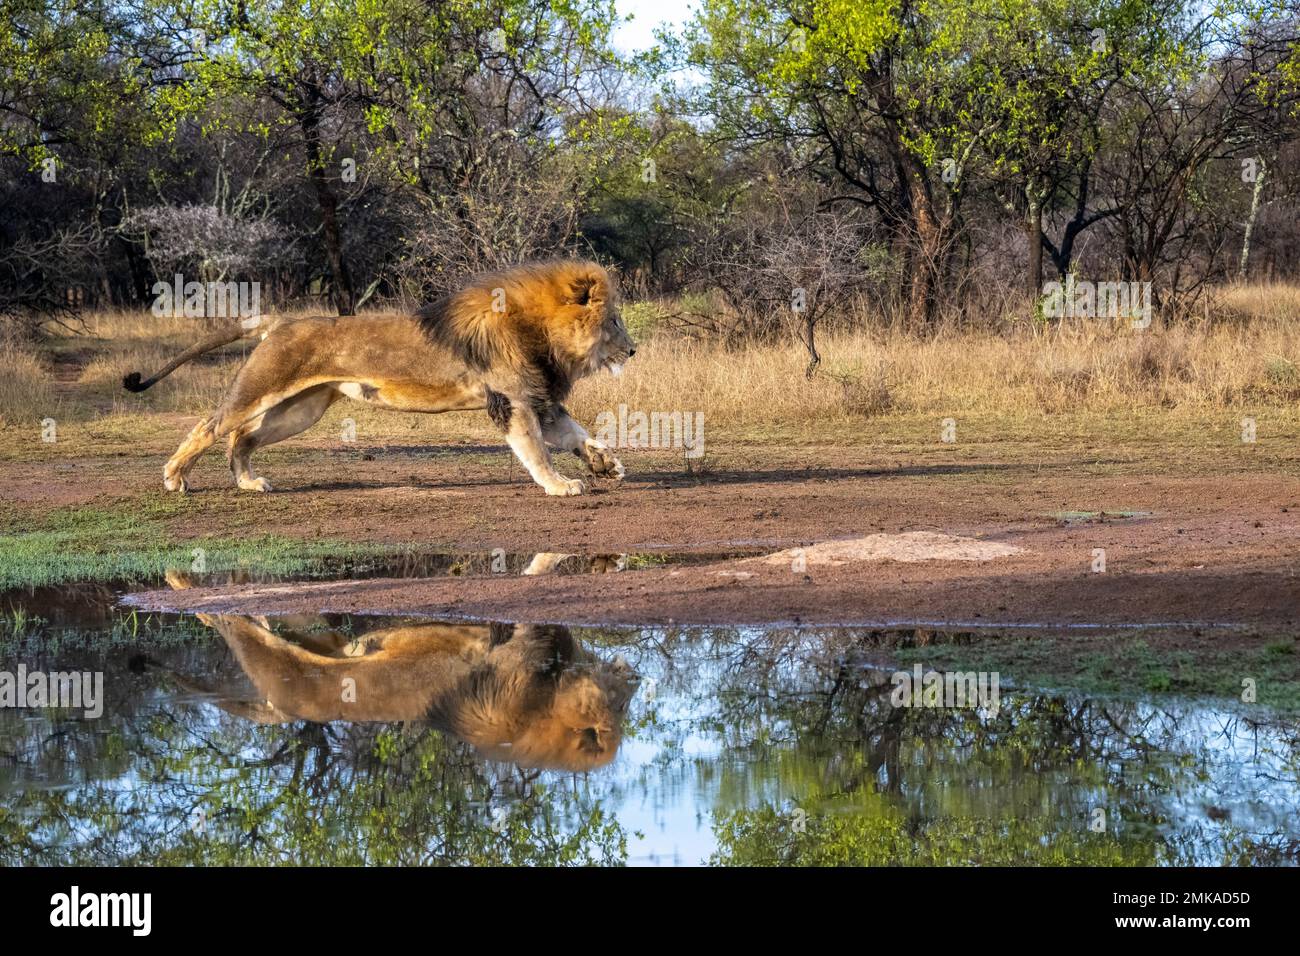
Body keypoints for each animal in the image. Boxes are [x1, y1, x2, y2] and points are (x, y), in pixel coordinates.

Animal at [122, 260, 636, 496]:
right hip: (260, 390)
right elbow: (536, 451)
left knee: (241, 439)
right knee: (210, 426)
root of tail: (281, 321)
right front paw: (559, 485)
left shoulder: (540, 397)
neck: (542, 332)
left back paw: (248, 482)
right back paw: (174, 477)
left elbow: (577, 434)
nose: (633, 350)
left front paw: (604, 464)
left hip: (300, 410)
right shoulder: (514, 401)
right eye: (614, 320)